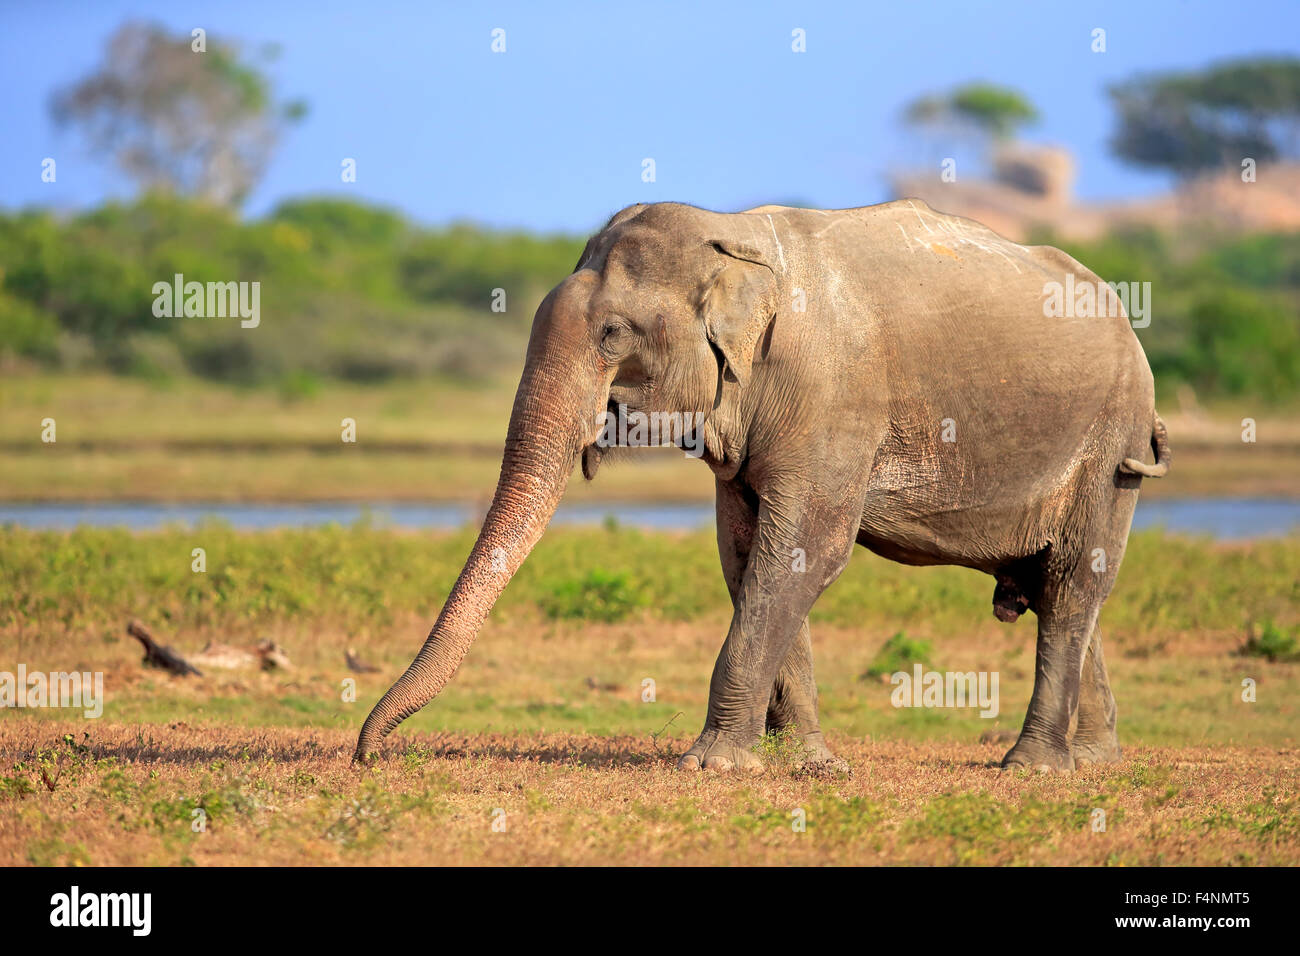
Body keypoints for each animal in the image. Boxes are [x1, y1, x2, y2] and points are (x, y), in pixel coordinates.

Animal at [354, 199, 1170, 773]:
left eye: (614, 334)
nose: (367, 754)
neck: (732, 234)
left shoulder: (834, 401)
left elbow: (802, 552)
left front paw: (708, 766)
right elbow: (750, 555)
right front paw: (806, 764)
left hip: (1111, 445)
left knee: (1074, 581)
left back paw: (1032, 769)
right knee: (1057, 587)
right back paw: (1090, 760)